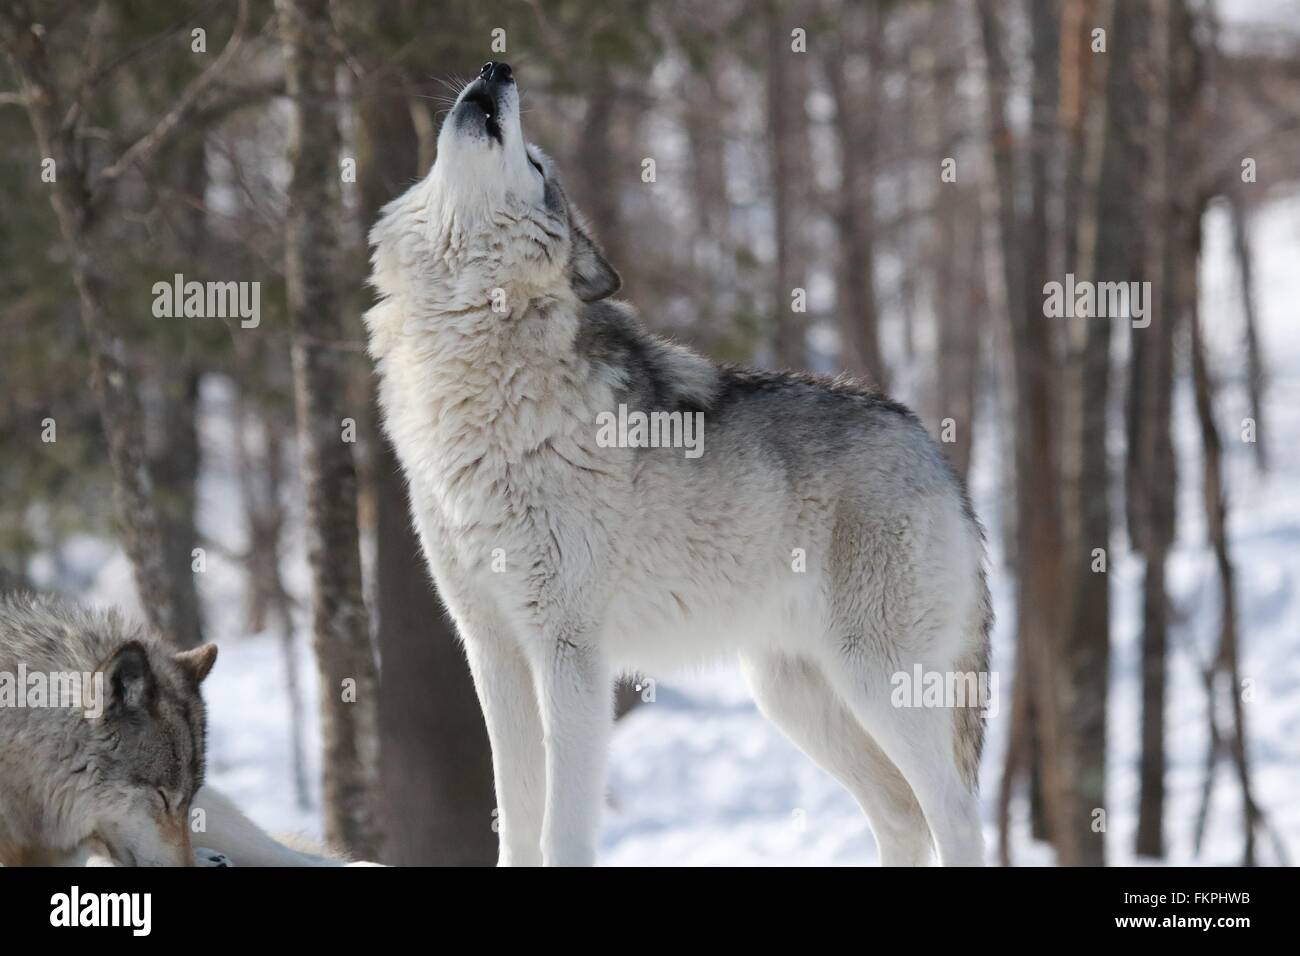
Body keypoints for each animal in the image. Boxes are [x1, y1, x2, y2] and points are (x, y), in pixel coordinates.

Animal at [365, 61, 992, 866]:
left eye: (535, 165)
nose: (498, 68)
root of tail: (937, 454)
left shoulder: (569, 650)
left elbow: (563, 827)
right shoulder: (492, 648)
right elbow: (517, 817)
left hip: (879, 683)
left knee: (955, 814)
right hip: (794, 696)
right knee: (902, 813)